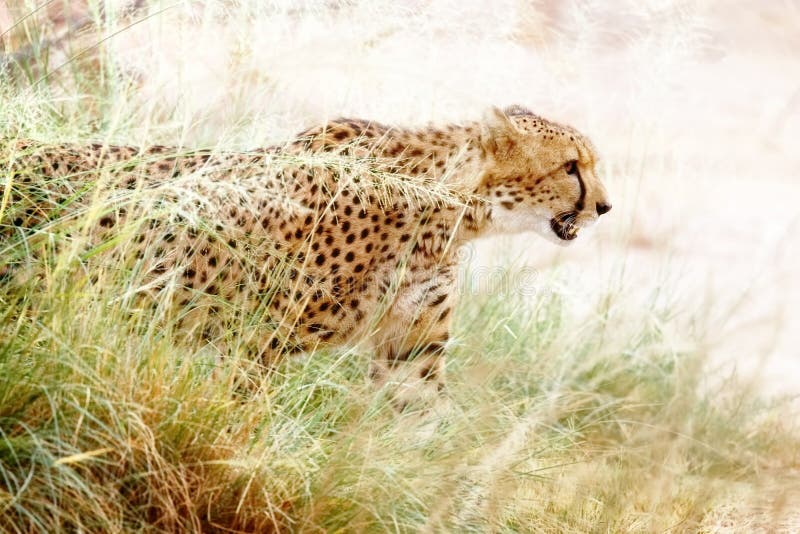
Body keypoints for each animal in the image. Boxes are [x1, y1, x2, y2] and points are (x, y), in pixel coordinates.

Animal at [0, 105, 611, 408]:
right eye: (570, 167)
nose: (605, 207)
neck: (447, 210)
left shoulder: (411, 355)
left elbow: (422, 425)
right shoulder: (251, 343)